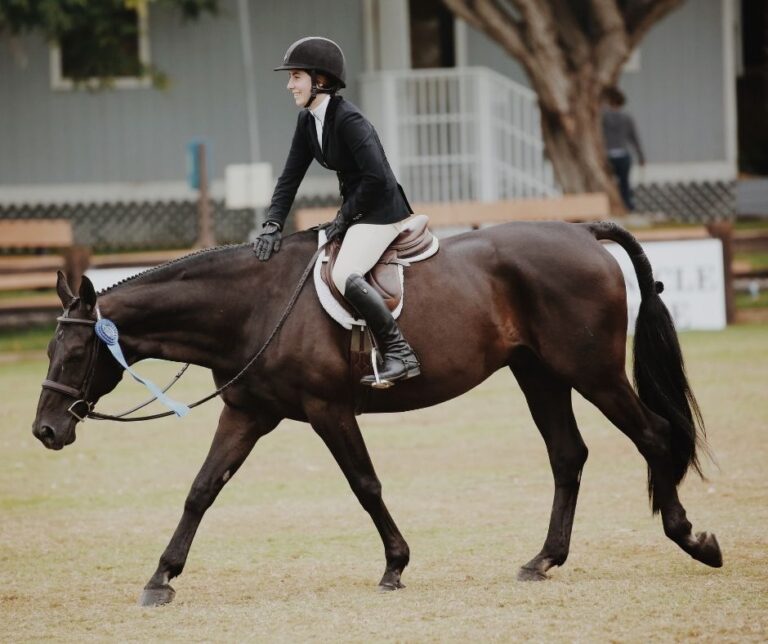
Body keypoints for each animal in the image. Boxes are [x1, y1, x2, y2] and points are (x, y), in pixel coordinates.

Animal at [32, 220, 722, 606]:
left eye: (75, 354)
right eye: (50, 350)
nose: (45, 430)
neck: (253, 305)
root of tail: (581, 233)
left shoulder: (328, 409)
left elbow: (365, 485)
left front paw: (395, 565)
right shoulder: (248, 413)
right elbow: (202, 491)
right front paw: (161, 577)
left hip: (591, 372)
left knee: (654, 435)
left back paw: (691, 538)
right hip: (539, 374)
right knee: (567, 456)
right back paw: (544, 559)